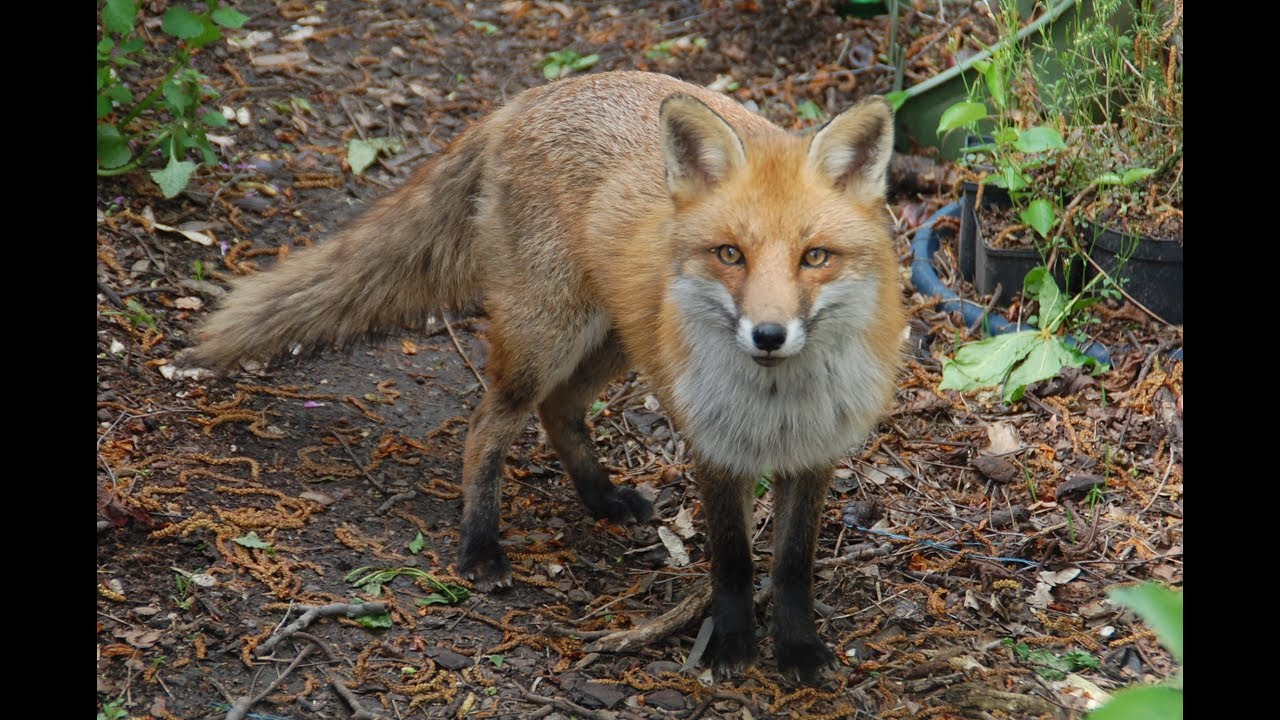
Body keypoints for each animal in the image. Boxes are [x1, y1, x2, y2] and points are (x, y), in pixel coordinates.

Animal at [183, 71, 905, 685]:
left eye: (815, 257)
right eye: (731, 254)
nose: (768, 334)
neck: (777, 404)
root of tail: (528, 96)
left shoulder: (814, 454)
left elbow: (791, 566)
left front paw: (798, 649)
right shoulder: (713, 447)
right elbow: (731, 560)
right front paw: (730, 644)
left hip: (614, 339)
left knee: (559, 410)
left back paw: (602, 498)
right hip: (547, 336)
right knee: (487, 426)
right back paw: (481, 546)